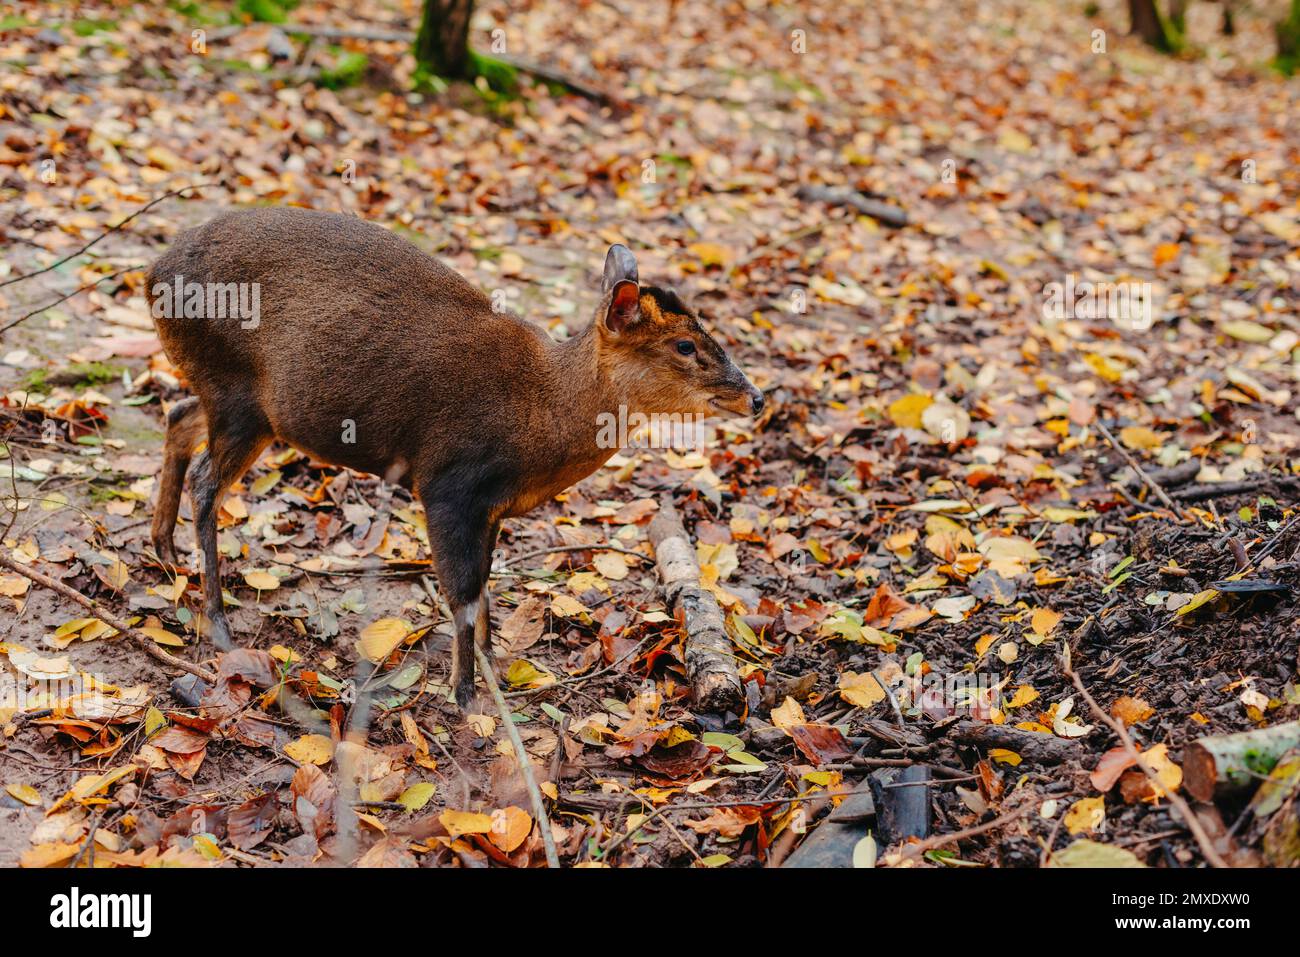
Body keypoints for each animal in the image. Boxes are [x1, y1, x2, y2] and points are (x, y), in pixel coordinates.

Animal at [147, 207, 763, 708]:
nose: (756, 397)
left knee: (178, 416)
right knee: (206, 481)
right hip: (239, 392)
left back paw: (164, 552)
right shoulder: (448, 485)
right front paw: (466, 695)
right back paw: (218, 621)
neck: (544, 413)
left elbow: (485, 584)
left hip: (234, 399)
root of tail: (153, 274)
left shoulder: (491, 507)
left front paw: (494, 665)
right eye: (686, 345)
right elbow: (462, 593)